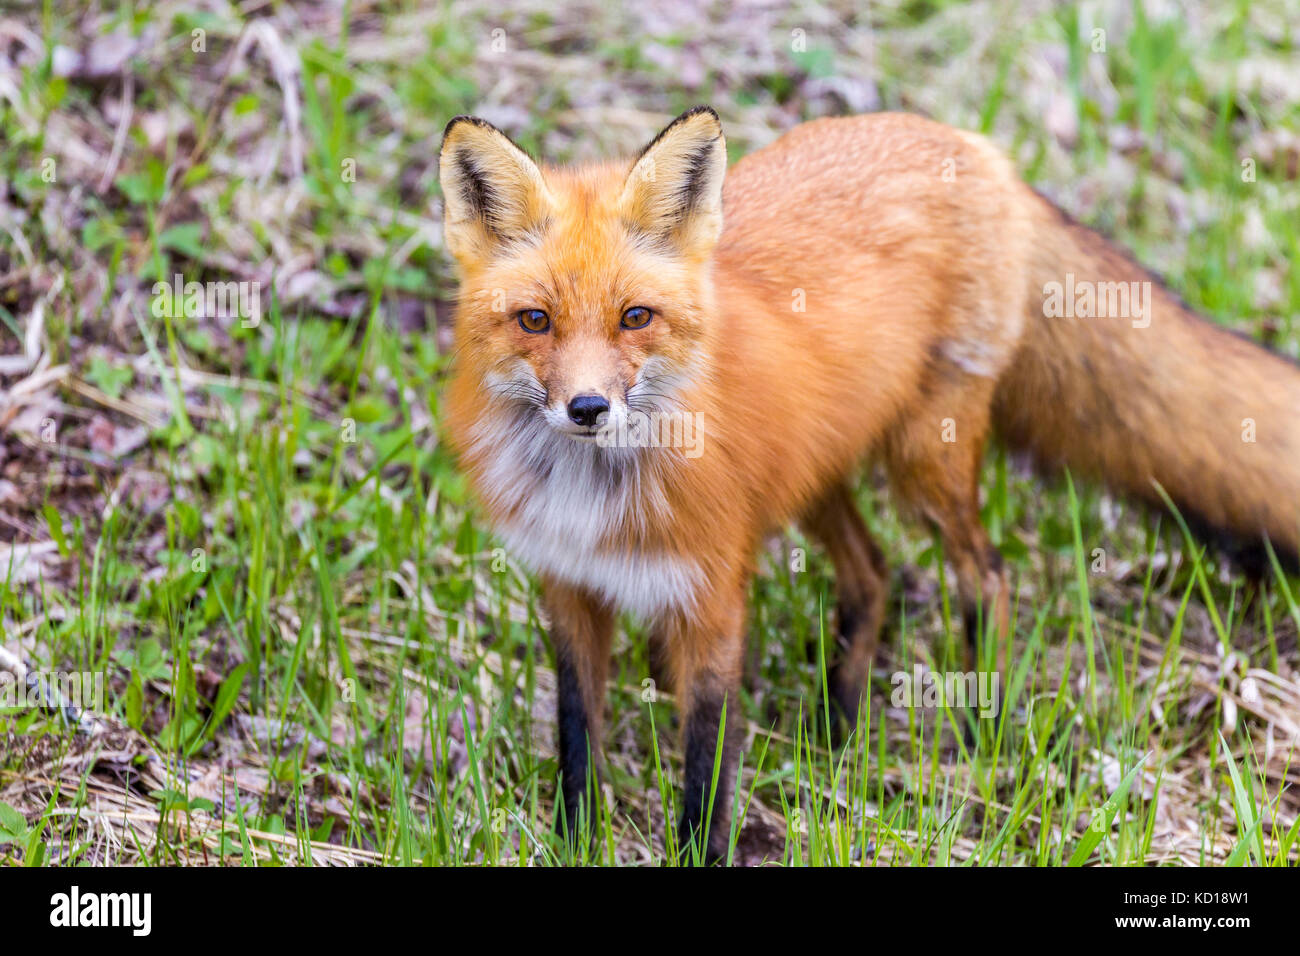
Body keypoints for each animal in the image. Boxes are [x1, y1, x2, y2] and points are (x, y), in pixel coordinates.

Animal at [437, 106, 1300, 864]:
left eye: (635, 317)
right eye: (536, 321)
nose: (588, 408)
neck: (595, 491)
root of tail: (976, 148)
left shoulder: (713, 599)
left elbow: (705, 759)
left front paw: (697, 853)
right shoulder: (571, 587)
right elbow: (576, 734)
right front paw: (571, 840)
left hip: (924, 465)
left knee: (987, 573)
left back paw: (983, 726)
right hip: (818, 480)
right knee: (874, 573)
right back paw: (838, 729)